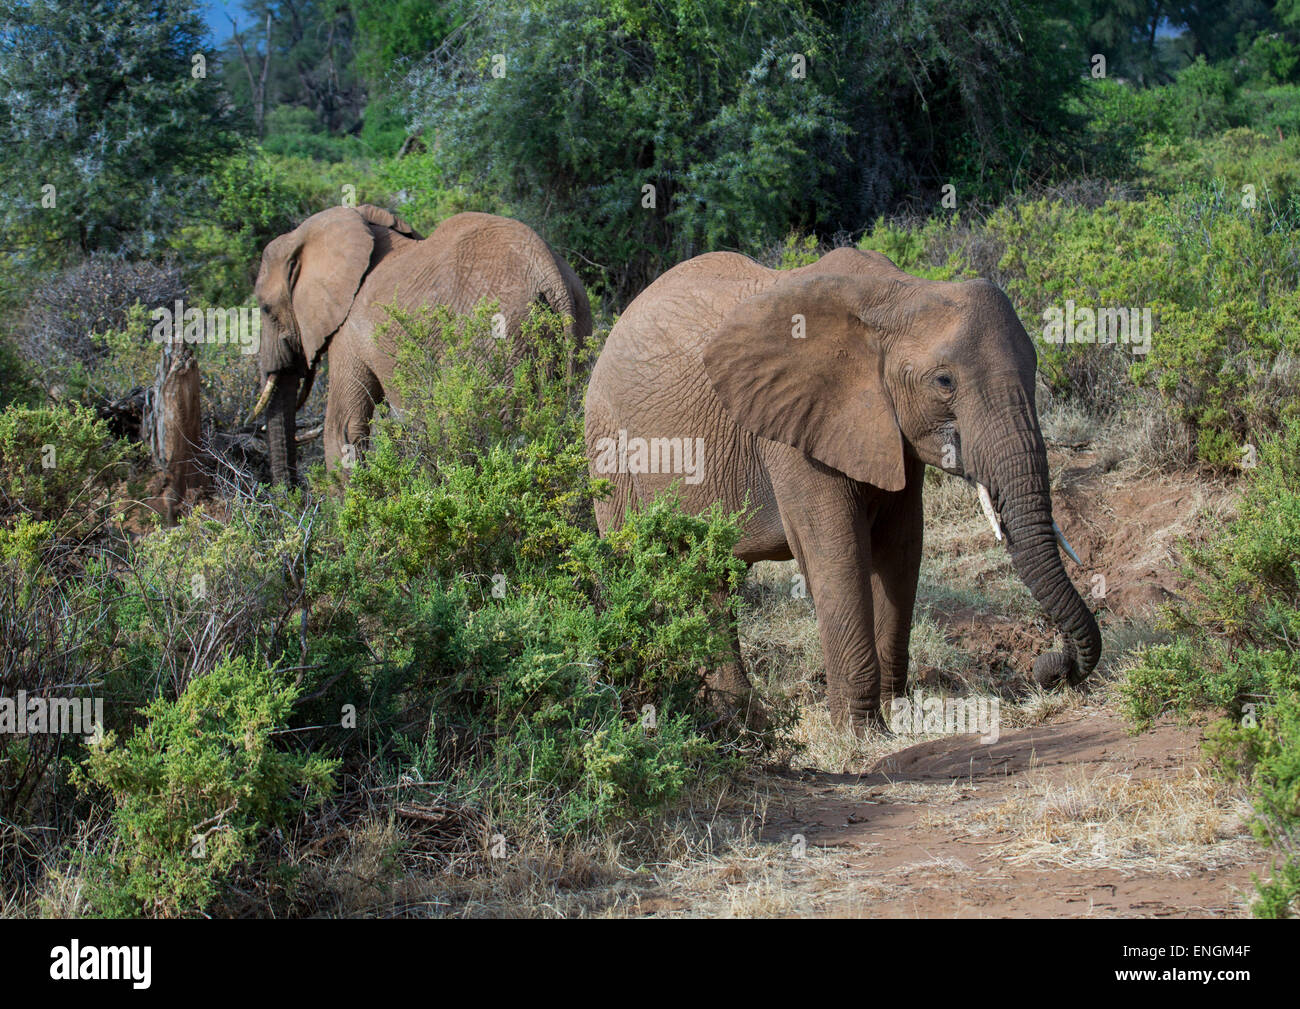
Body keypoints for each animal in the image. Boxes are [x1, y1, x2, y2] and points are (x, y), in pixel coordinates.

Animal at [248, 205, 592, 482]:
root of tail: (547, 270)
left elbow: (342, 428)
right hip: (577, 318)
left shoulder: (348, 330)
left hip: (498, 339)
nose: (289, 497)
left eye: (265, 308)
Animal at [583, 247, 1100, 732]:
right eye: (944, 381)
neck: (900, 293)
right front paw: (861, 735)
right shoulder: (794, 429)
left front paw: (899, 718)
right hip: (609, 445)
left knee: (709, 576)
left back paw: (739, 719)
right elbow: (836, 555)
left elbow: (901, 549)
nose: (1052, 670)